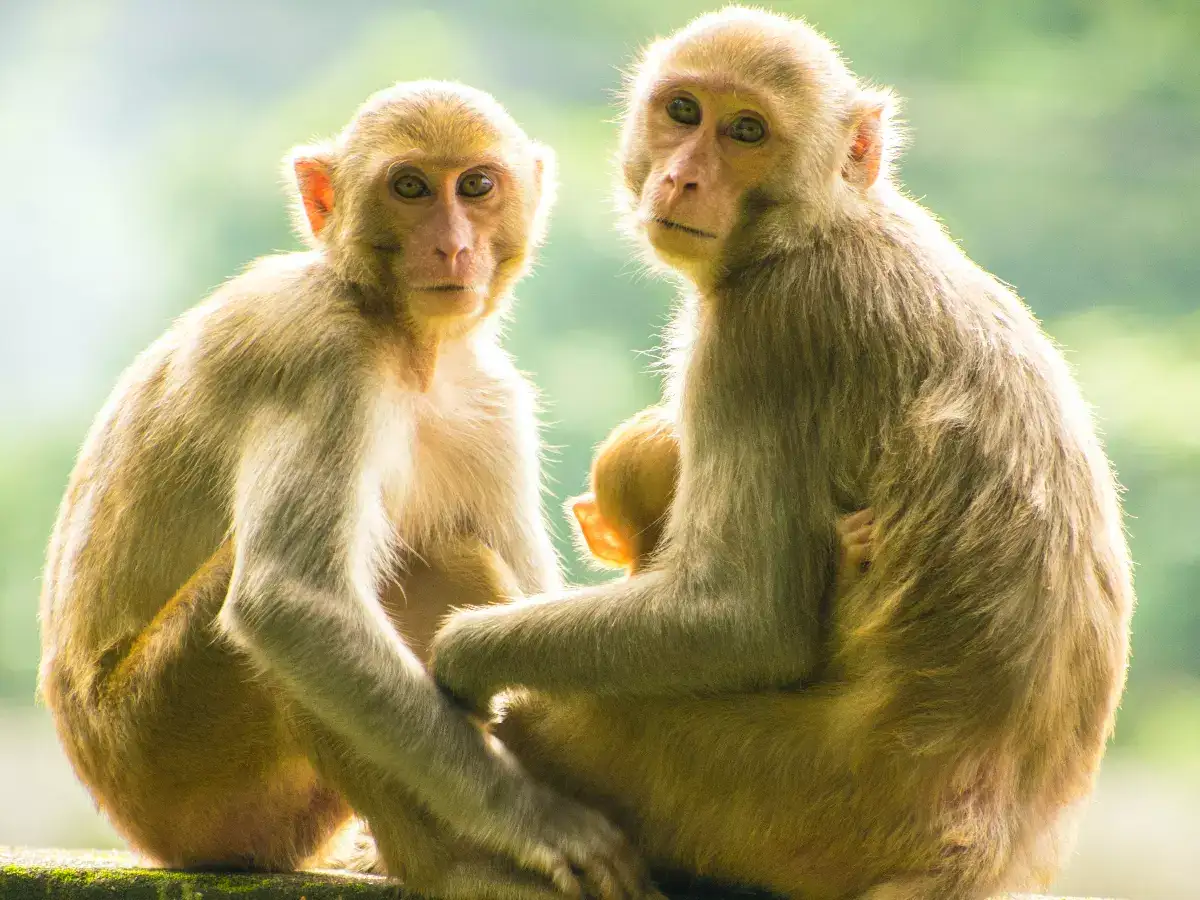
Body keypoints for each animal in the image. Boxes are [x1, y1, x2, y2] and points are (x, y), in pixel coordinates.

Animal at [37, 80, 647, 900]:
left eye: (476, 186)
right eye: (410, 187)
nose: (453, 247)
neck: (404, 340)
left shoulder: (493, 403)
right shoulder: (317, 353)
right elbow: (290, 600)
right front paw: (537, 817)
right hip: (164, 764)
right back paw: (455, 868)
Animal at [430, 9, 1134, 900]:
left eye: (746, 132)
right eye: (684, 112)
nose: (683, 179)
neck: (825, 221)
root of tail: (985, 854)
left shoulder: (765, 335)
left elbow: (743, 618)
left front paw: (464, 654)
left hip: (780, 805)